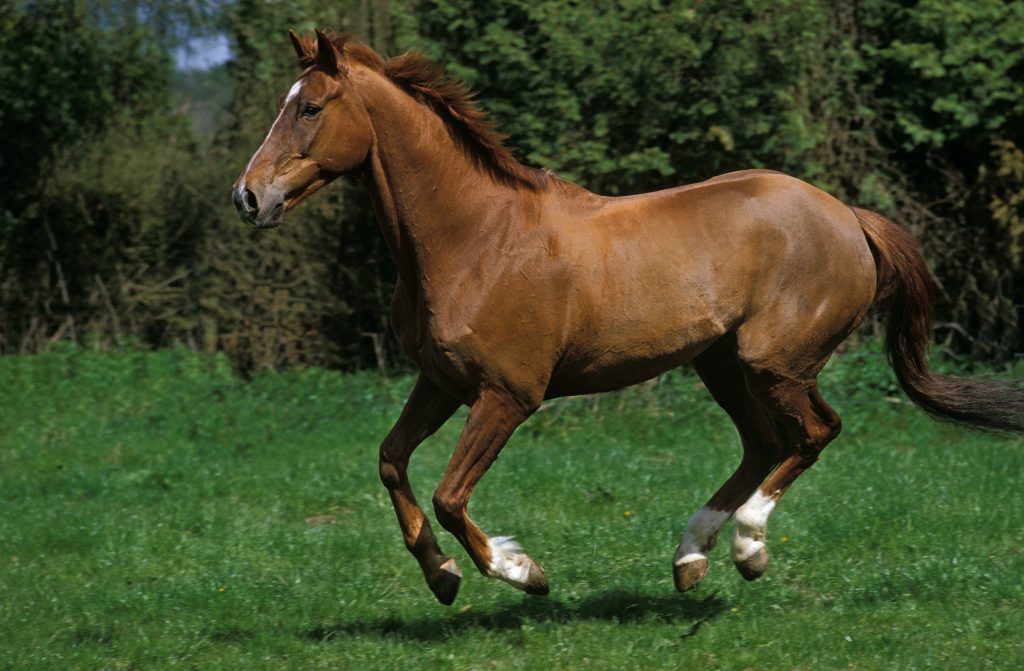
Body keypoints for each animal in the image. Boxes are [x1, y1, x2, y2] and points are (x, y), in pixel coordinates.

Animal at [233, 30, 1024, 605]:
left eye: (310, 108)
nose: (248, 197)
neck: (476, 238)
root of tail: (848, 217)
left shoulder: (507, 395)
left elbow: (450, 494)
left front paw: (524, 572)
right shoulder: (441, 382)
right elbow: (392, 462)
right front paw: (442, 577)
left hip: (775, 361)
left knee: (814, 434)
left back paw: (748, 548)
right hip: (720, 363)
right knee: (764, 443)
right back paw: (690, 559)